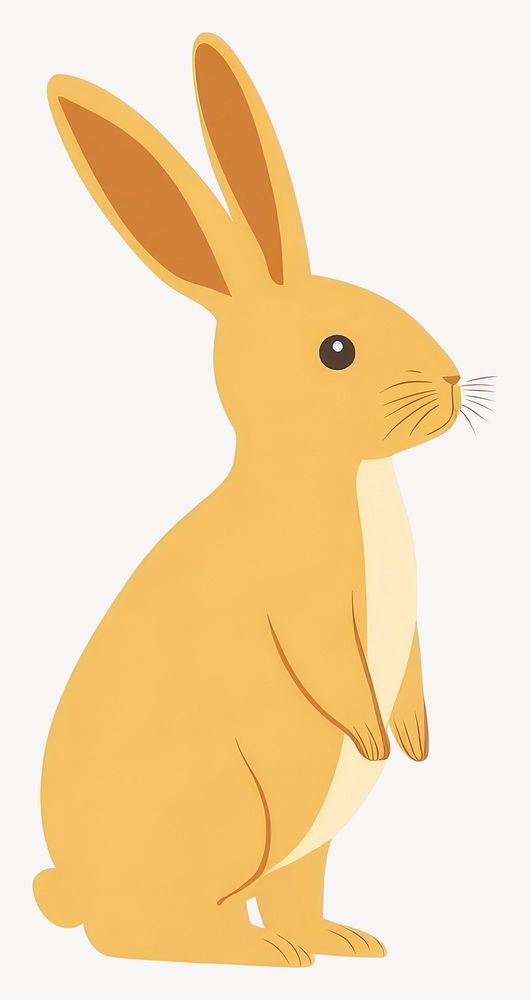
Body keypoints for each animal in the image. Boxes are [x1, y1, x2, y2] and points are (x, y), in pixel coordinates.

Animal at [34, 33, 464, 967]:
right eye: (336, 350)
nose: (454, 382)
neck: (329, 471)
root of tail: (69, 888)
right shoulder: (303, 605)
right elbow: (327, 666)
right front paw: (374, 733)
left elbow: (410, 670)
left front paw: (415, 739)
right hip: (235, 809)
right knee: (136, 931)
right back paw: (258, 954)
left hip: (301, 843)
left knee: (286, 897)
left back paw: (337, 942)